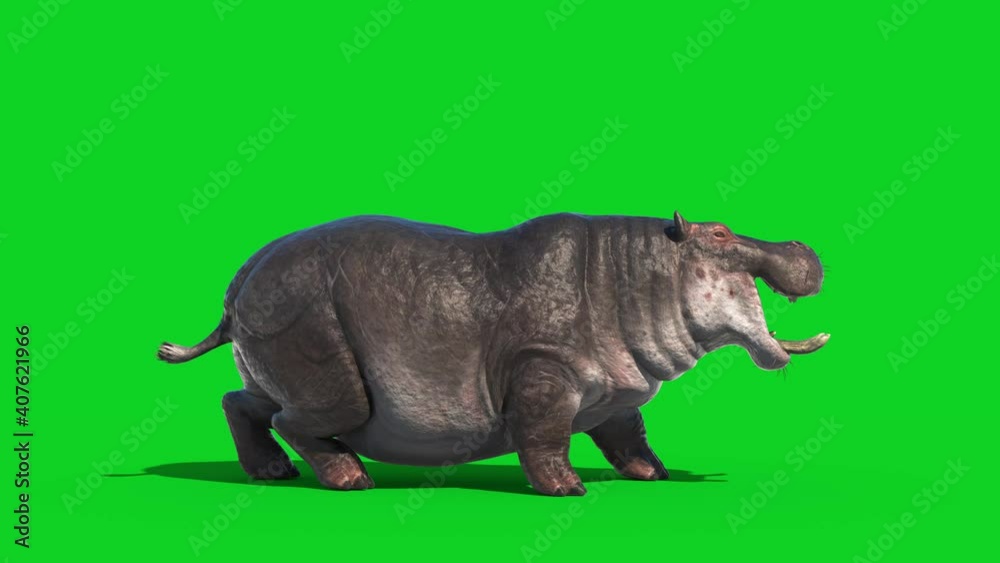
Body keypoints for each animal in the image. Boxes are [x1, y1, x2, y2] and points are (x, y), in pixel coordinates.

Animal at [158, 212, 828, 496]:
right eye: (718, 232)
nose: (800, 242)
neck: (643, 267)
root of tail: (243, 276)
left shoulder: (618, 388)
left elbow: (628, 433)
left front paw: (653, 476)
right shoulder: (545, 371)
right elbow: (545, 436)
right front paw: (569, 492)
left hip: (272, 356)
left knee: (243, 401)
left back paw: (273, 473)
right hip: (325, 361)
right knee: (300, 418)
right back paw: (353, 480)